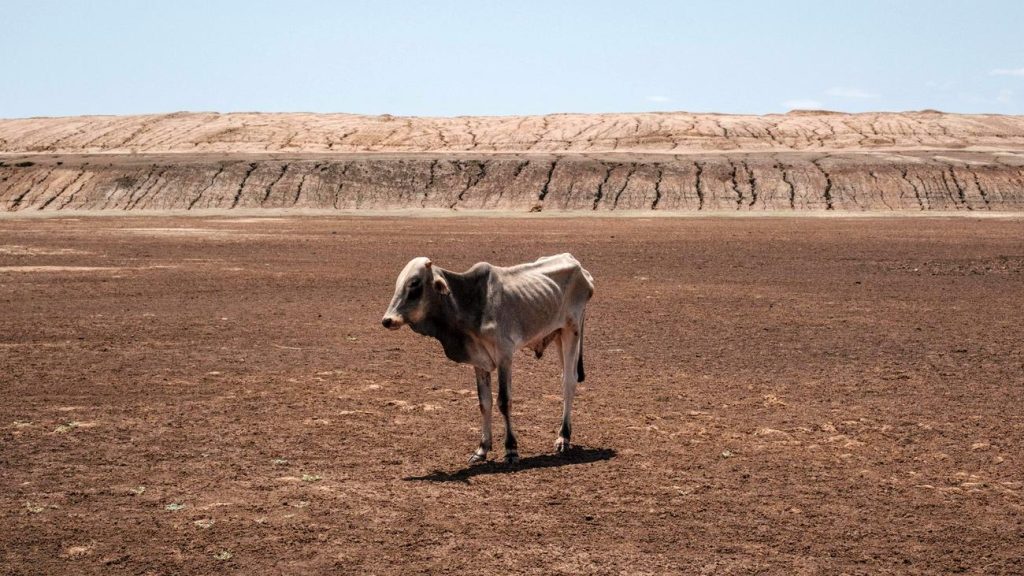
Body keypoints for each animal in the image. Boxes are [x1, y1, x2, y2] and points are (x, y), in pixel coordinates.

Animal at [382, 251, 593, 461]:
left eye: (414, 283)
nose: (387, 320)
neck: (470, 302)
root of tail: (578, 265)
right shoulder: (479, 360)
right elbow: (484, 402)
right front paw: (482, 448)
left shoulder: (504, 356)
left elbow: (504, 401)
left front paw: (511, 448)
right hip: (558, 334)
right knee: (565, 377)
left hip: (571, 331)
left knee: (569, 381)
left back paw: (563, 437)